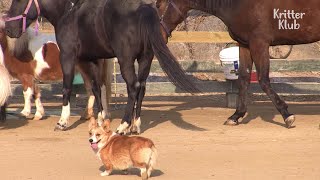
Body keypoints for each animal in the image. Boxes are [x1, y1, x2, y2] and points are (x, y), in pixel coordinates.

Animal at [157, 0, 320, 127]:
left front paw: (287, 115)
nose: (160, 36)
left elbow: (263, 80)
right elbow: (243, 78)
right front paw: (236, 115)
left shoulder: (259, 44)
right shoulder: (245, 45)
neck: (241, 3)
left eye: (158, 5)